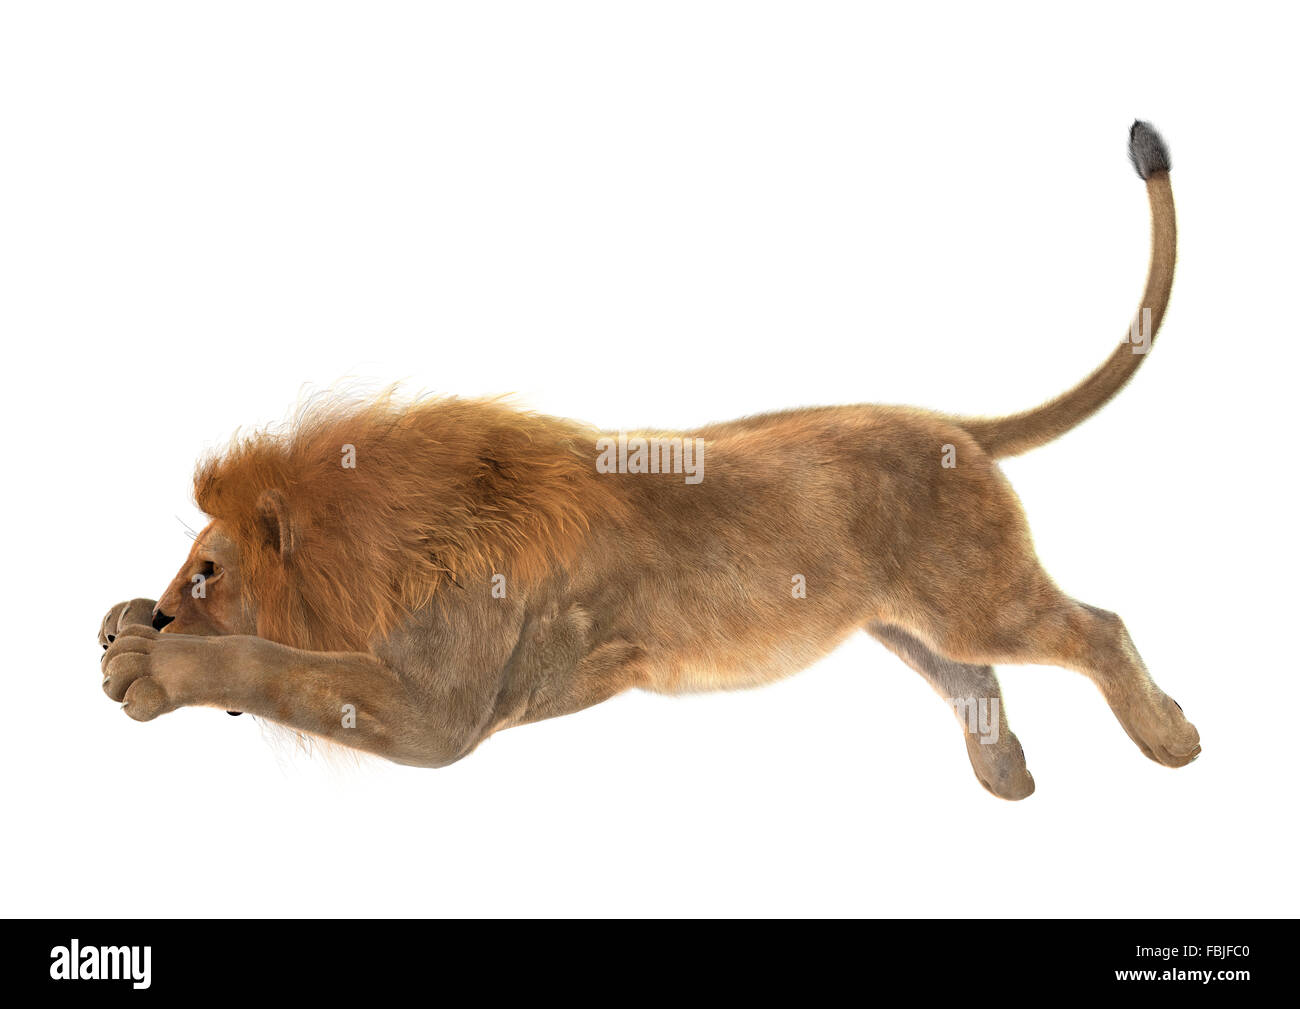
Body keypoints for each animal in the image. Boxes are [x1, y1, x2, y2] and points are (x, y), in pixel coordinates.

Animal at [100, 121, 1198, 798]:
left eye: (210, 570)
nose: (162, 612)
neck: (387, 545)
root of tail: (952, 425)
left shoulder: (441, 712)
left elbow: (278, 665)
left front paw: (150, 661)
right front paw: (124, 622)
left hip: (974, 592)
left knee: (1093, 628)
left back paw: (1170, 739)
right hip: (903, 618)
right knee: (973, 677)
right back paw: (1008, 776)